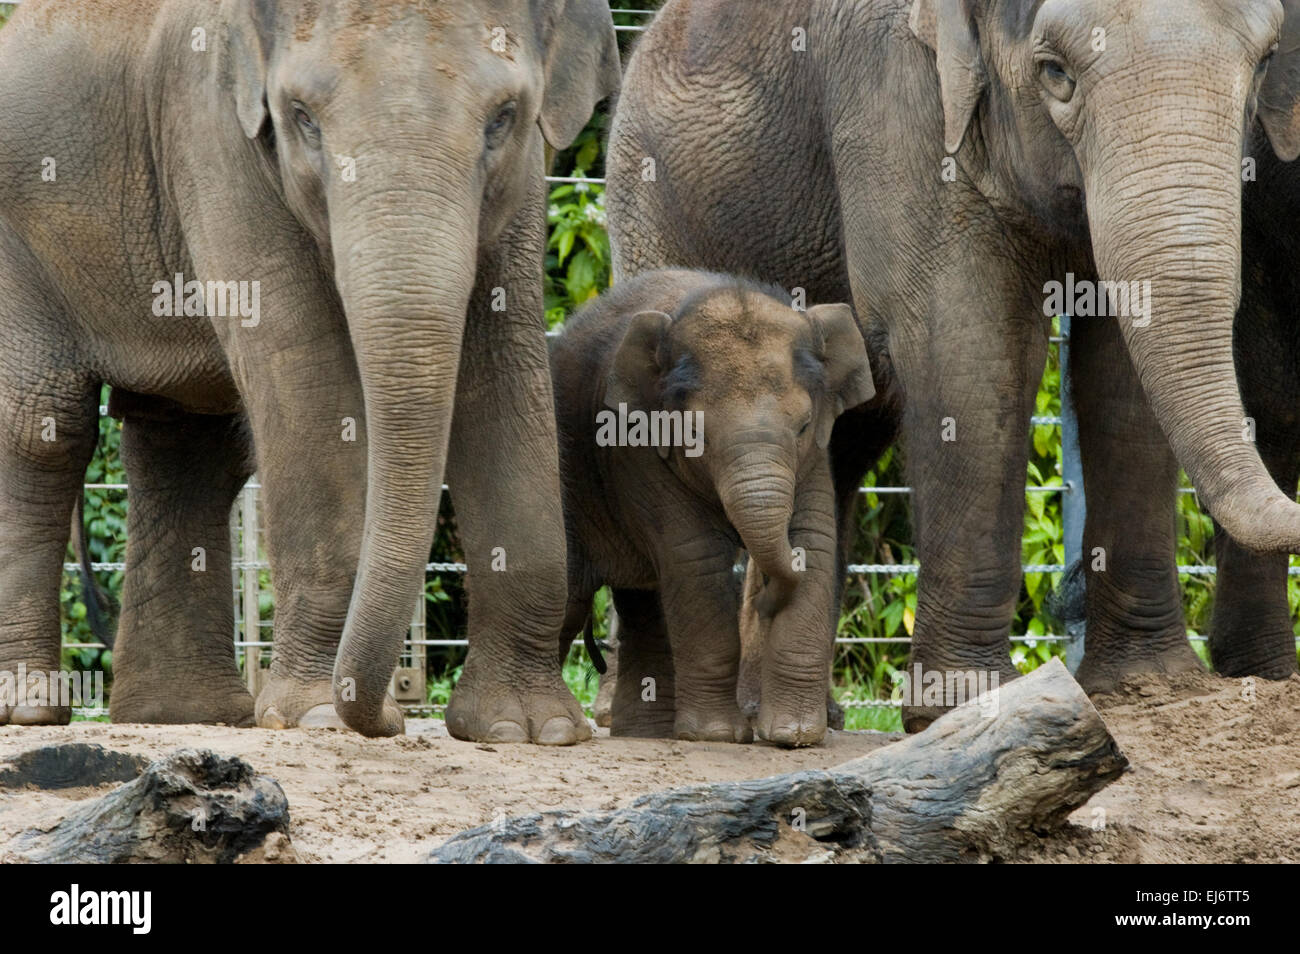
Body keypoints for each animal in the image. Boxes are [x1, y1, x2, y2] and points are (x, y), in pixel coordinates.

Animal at [0, 0, 620, 739]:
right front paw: (320, 713)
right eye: (302, 117)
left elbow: (505, 366)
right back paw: (30, 710)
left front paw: (530, 729)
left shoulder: (524, 177)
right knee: (43, 430)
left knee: (186, 443)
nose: (384, 720)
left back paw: (189, 716)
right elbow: (307, 371)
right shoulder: (211, 135)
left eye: (503, 116)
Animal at [551, 269, 874, 745]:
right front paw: (719, 735)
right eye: (693, 434)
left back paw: (649, 734)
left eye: (802, 427)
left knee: (644, 605)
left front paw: (794, 736)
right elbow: (696, 558)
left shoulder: (816, 456)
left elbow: (814, 546)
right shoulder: (637, 450)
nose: (762, 600)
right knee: (574, 597)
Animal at [605, 0, 1300, 730]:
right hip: (650, 208)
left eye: (1264, 63)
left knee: (838, 444)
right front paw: (968, 703)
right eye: (1055, 72)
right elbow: (970, 352)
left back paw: (802, 720)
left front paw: (1149, 687)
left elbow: (1119, 375)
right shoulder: (897, 102)